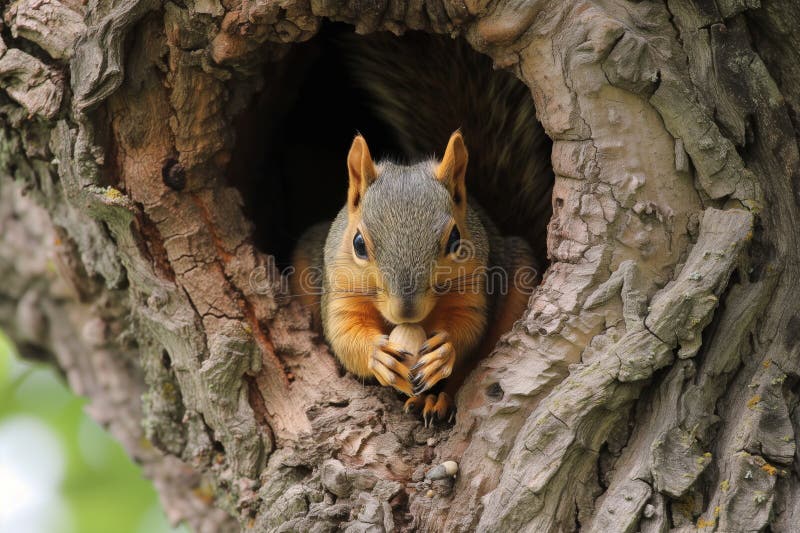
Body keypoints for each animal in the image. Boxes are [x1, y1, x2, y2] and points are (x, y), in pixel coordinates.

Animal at [292, 131, 537, 423]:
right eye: (358, 244)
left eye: (455, 239)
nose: (406, 312)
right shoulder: (341, 289)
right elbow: (345, 333)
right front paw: (378, 355)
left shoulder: (473, 286)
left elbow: (468, 325)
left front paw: (443, 352)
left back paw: (434, 400)